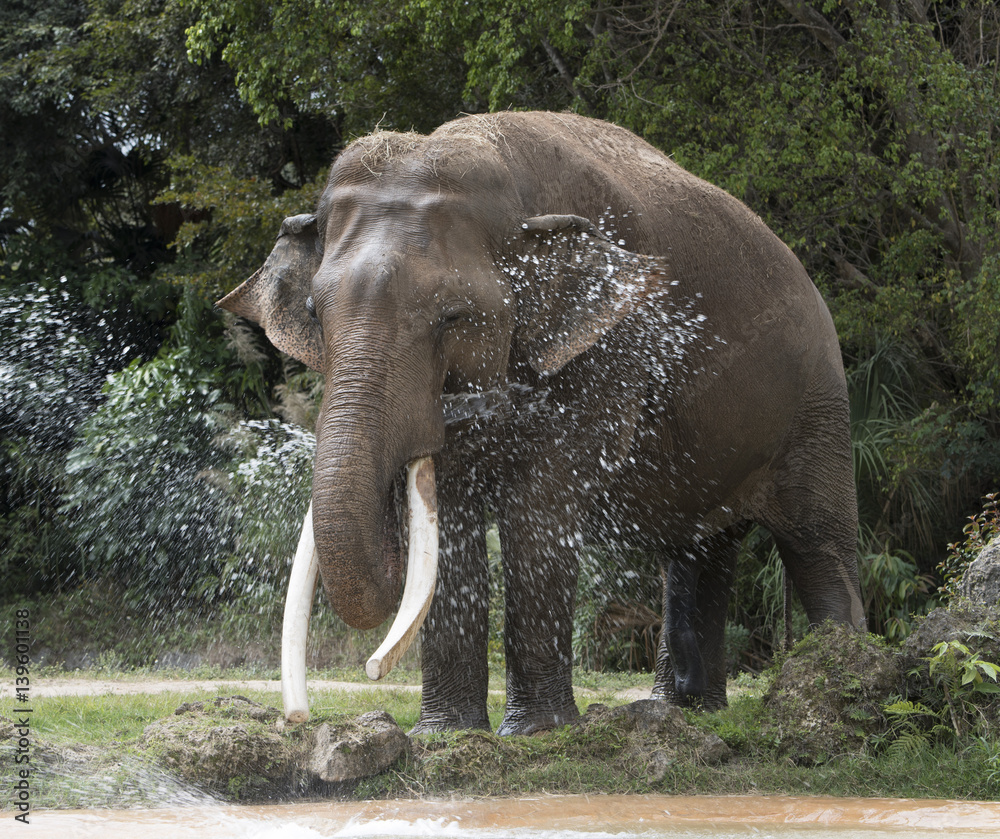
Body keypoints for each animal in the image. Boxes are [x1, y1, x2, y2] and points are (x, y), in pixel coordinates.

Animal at [218, 111, 864, 736]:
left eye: (452, 317)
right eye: (313, 312)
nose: (301, 717)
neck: (509, 180)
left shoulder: (610, 346)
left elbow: (541, 505)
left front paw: (534, 732)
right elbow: (453, 513)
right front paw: (446, 734)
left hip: (820, 405)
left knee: (818, 544)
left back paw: (843, 686)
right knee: (698, 552)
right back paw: (682, 711)